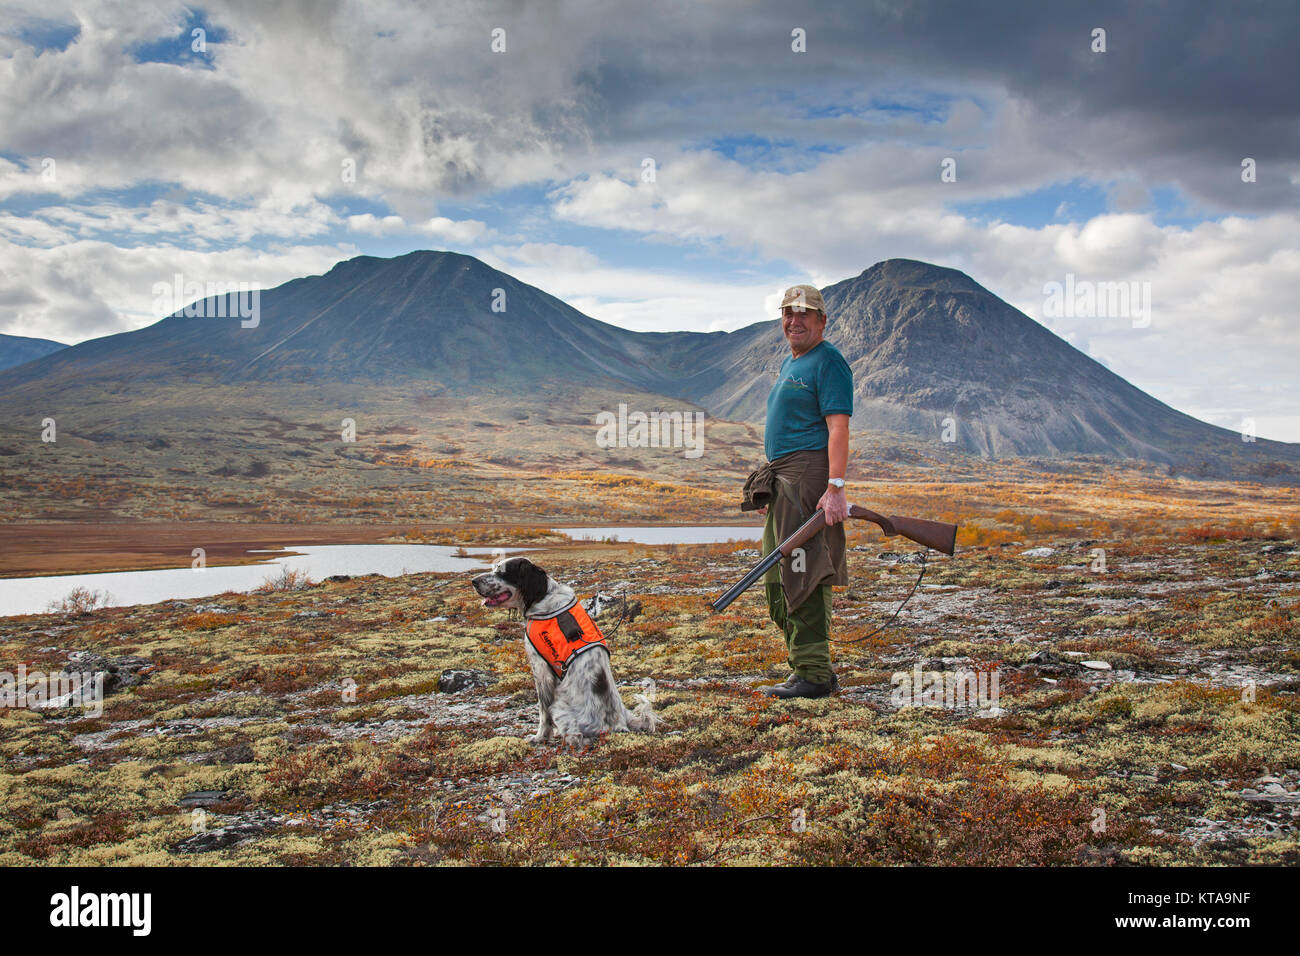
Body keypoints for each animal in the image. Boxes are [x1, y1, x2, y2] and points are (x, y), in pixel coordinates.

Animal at [470, 556, 660, 749]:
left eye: (502, 572)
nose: (474, 581)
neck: (542, 596)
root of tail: (620, 725)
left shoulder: (541, 669)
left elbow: (543, 712)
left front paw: (539, 737)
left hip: (560, 707)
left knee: (577, 737)